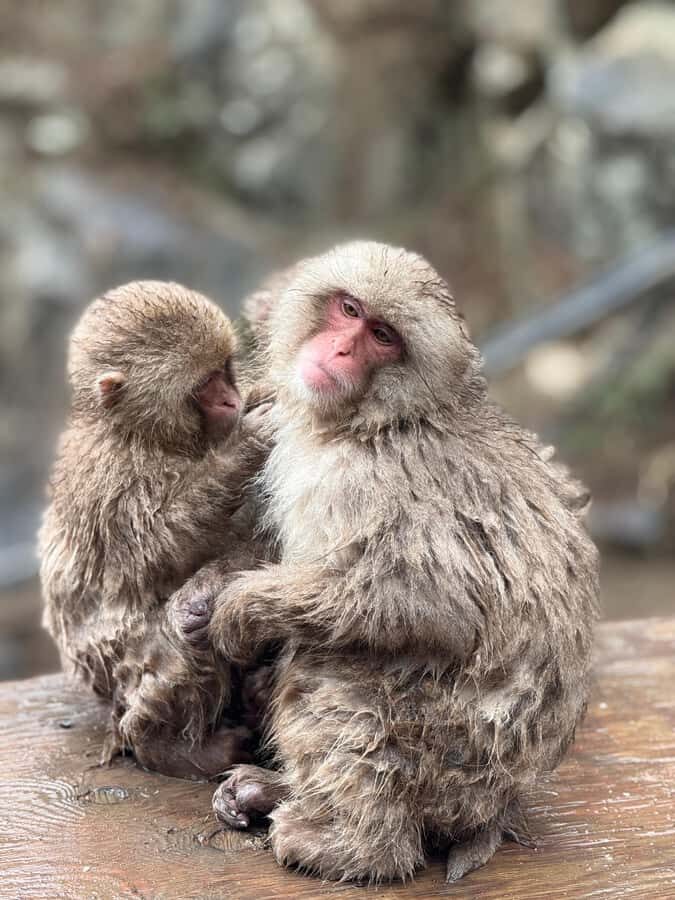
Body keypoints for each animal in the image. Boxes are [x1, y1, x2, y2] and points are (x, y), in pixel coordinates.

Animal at [39, 281, 273, 779]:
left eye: (226, 371)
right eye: (205, 387)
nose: (231, 401)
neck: (140, 432)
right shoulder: (114, 482)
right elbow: (159, 547)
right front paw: (246, 446)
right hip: (115, 674)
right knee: (177, 640)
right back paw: (166, 746)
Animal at [170, 242, 600, 882]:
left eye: (382, 336)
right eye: (348, 309)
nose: (342, 349)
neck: (372, 421)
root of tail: (498, 805)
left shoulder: (367, 479)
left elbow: (428, 602)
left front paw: (241, 609)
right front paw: (203, 596)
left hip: (450, 760)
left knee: (340, 667)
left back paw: (352, 845)